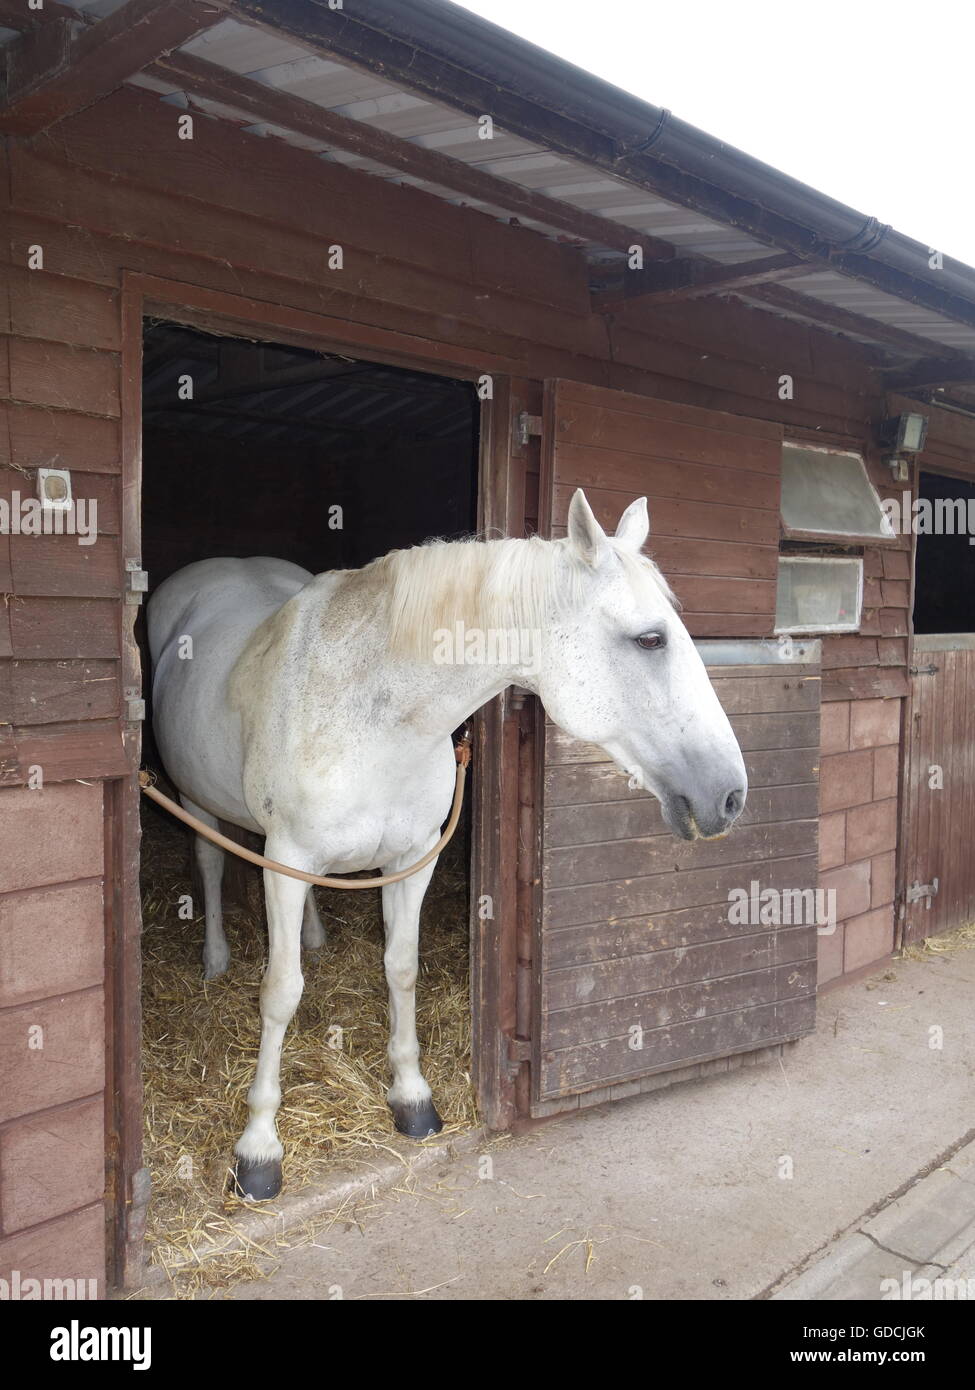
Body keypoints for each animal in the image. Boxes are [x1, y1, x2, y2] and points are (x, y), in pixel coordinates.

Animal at [146, 488, 747, 1200]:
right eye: (649, 638)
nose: (730, 794)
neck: (375, 714)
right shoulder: (286, 863)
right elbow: (281, 990)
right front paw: (259, 1150)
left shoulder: (411, 859)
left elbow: (401, 968)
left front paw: (412, 1099)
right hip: (195, 801)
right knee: (210, 861)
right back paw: (214, 958)